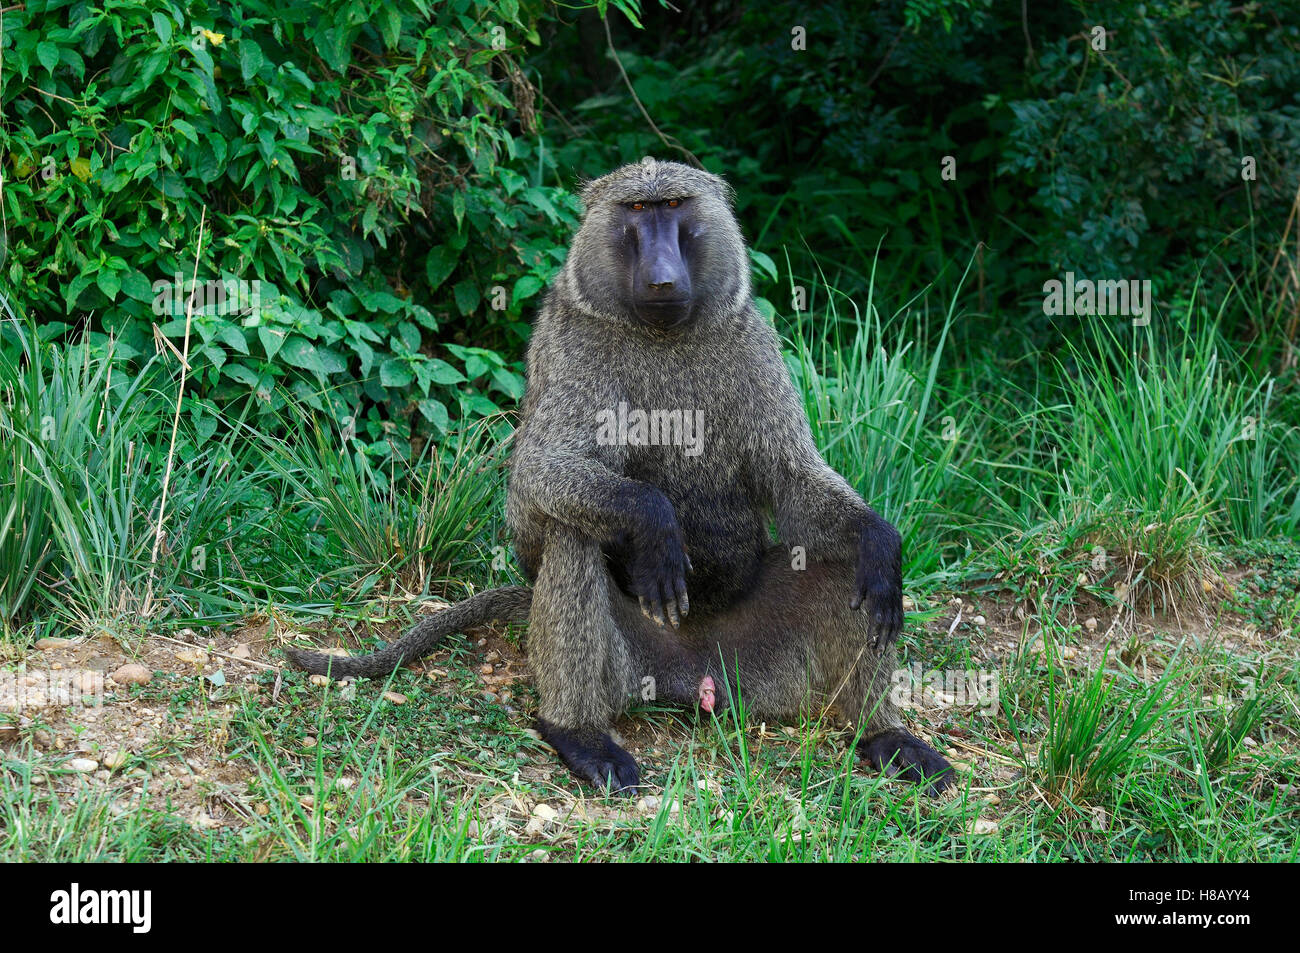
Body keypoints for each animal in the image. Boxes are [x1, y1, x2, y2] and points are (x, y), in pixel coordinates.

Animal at [287, 158, 953, 797]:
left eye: (674, 205)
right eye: (636, 210)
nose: (661, 276)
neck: (660, 333)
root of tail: (692, 674)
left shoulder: (754, 342)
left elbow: (793, 477)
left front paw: (882, 541)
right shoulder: (572, 345)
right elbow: (540, 473)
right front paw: (655, 526)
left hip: (763, 668)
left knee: (851, 569)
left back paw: (879, 730)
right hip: (630, 658)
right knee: (572, 534)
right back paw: (579, 733)